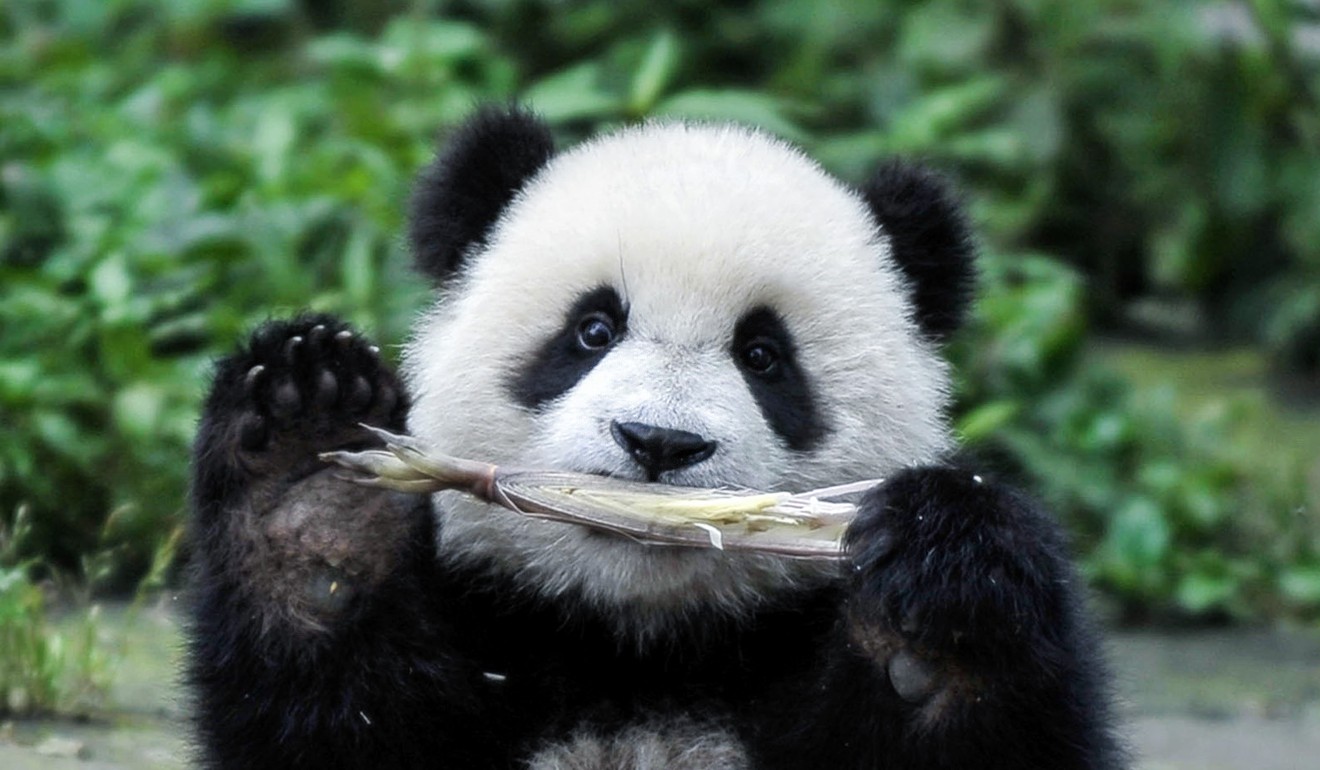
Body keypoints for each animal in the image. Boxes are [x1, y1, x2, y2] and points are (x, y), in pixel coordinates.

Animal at [187, 107, 1124, 769]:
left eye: (763, 356)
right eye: (593, 329)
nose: (659, 443)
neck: (641, 647)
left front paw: (930, 620)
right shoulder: (494, 631)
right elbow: (336, 722)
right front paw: (313, 486)